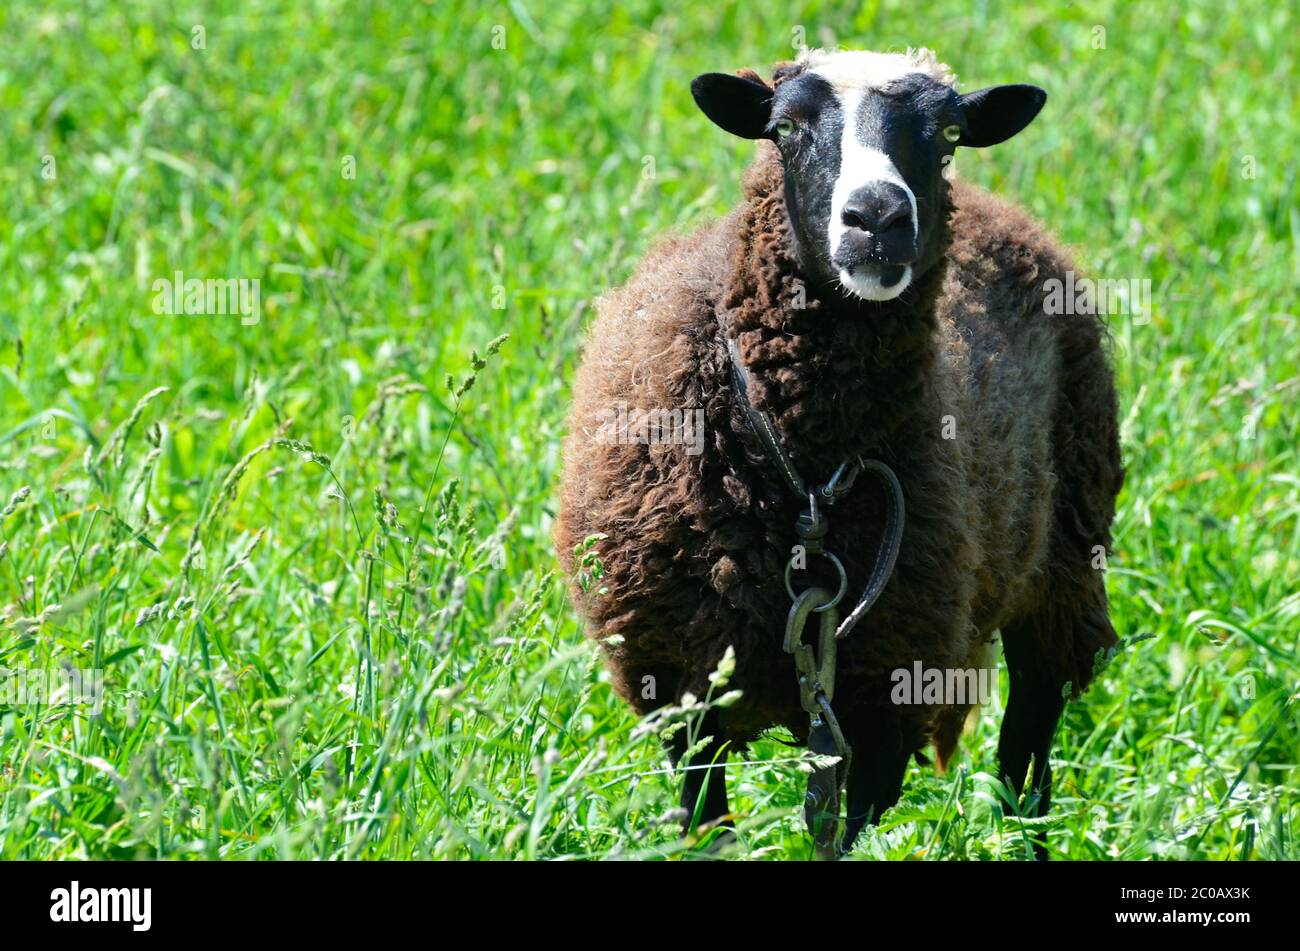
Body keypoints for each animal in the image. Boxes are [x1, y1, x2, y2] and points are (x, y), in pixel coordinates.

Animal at [555, 47, 1124, 858]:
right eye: (785, 127)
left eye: (948, 133)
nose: (878, 217)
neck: (803, 471)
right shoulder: (682, 682)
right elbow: (706, 826)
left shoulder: (883, 688)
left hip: (1066, 560)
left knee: (1029, 754)